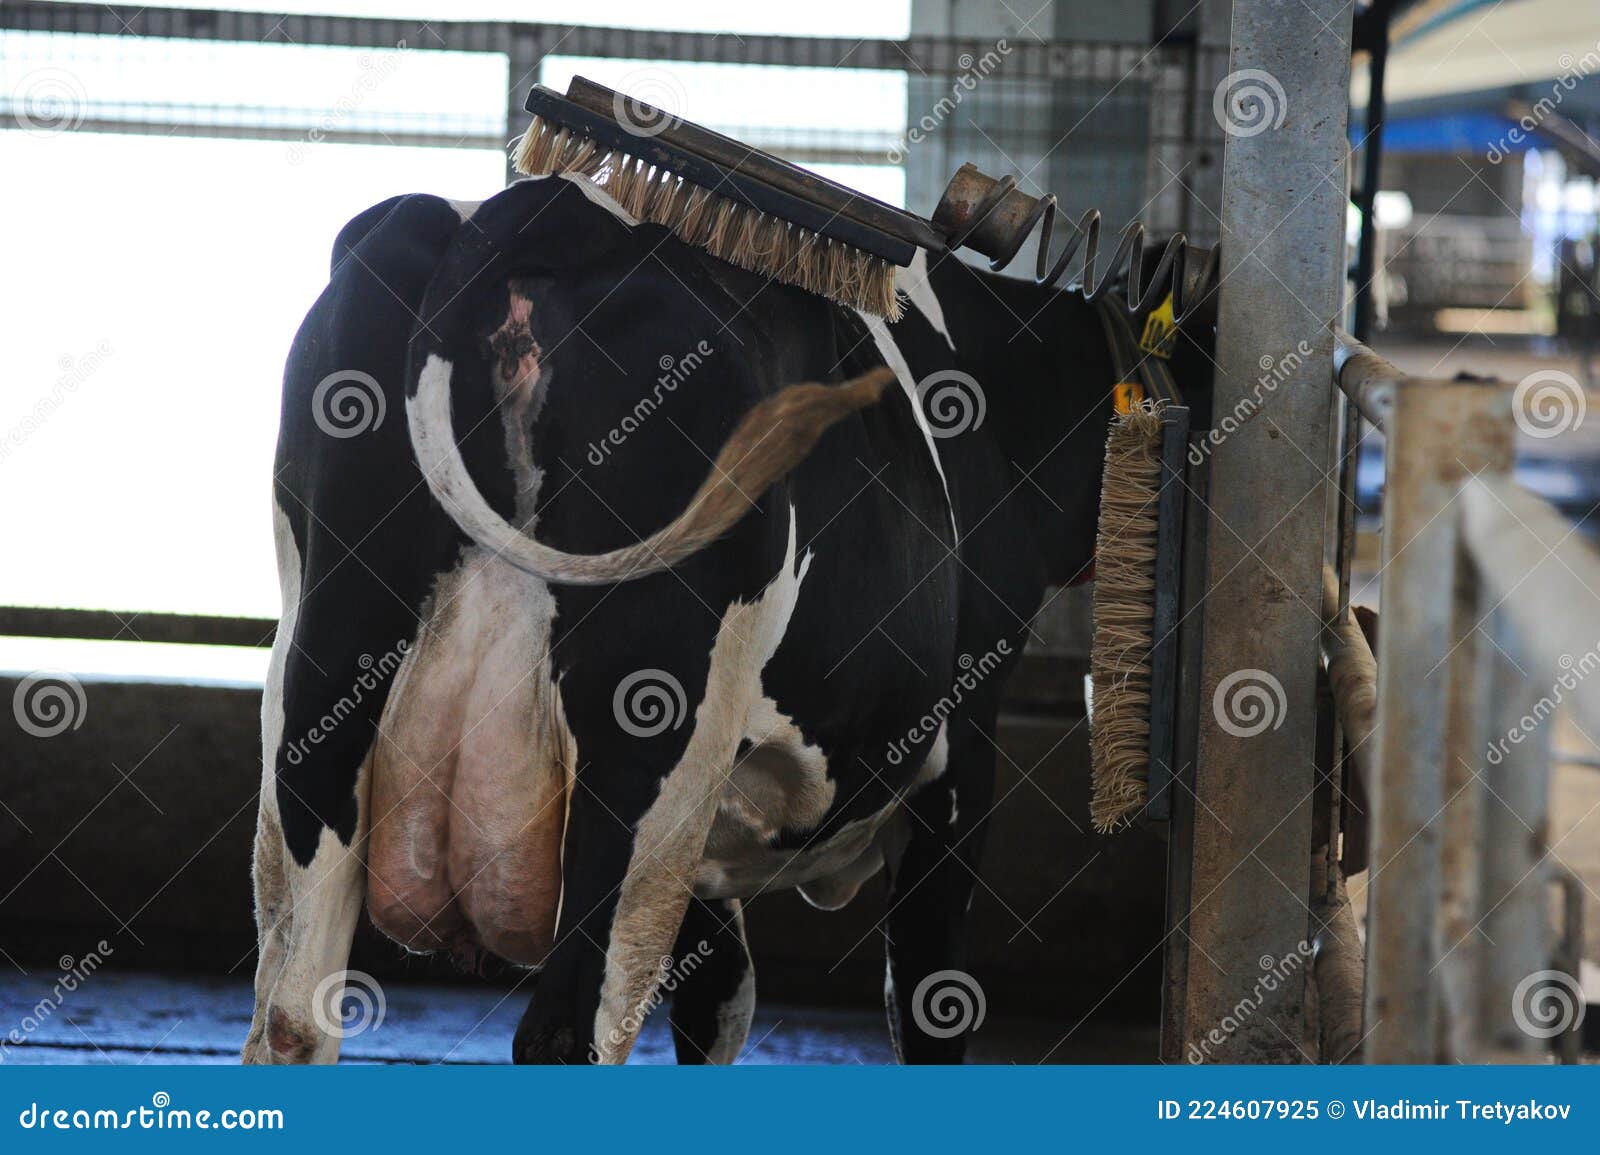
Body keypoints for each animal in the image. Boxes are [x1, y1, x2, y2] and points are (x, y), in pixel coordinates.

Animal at [241, 172, 1212, 1065]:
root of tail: (546, 204)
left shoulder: (713, 835)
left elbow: (718, 1005)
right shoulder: (960, 749)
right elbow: (929, 1008)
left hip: (322, 691)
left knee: (293, 1015)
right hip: (647, 733)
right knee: (570, 1030)